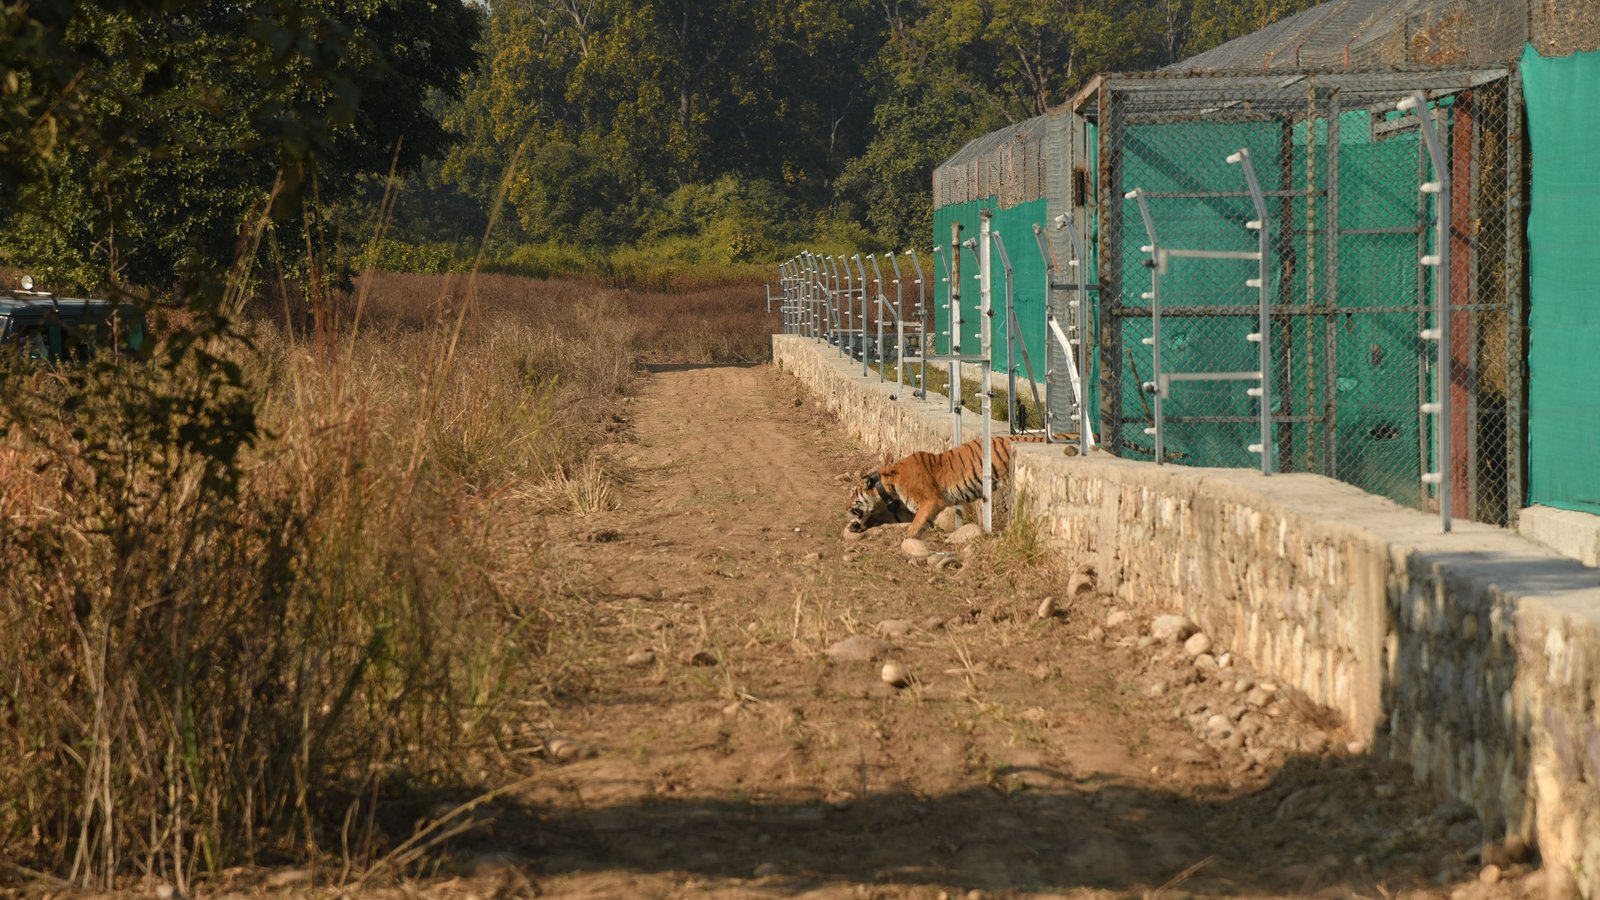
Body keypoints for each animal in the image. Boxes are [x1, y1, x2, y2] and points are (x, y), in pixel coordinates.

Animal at [846, 434, 1080, 538]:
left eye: (852, 495)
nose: (847, 508)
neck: (888, 485)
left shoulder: (931, 502)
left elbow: (913, 527)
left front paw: (907, 539)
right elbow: (894, 521)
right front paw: (858, 527)